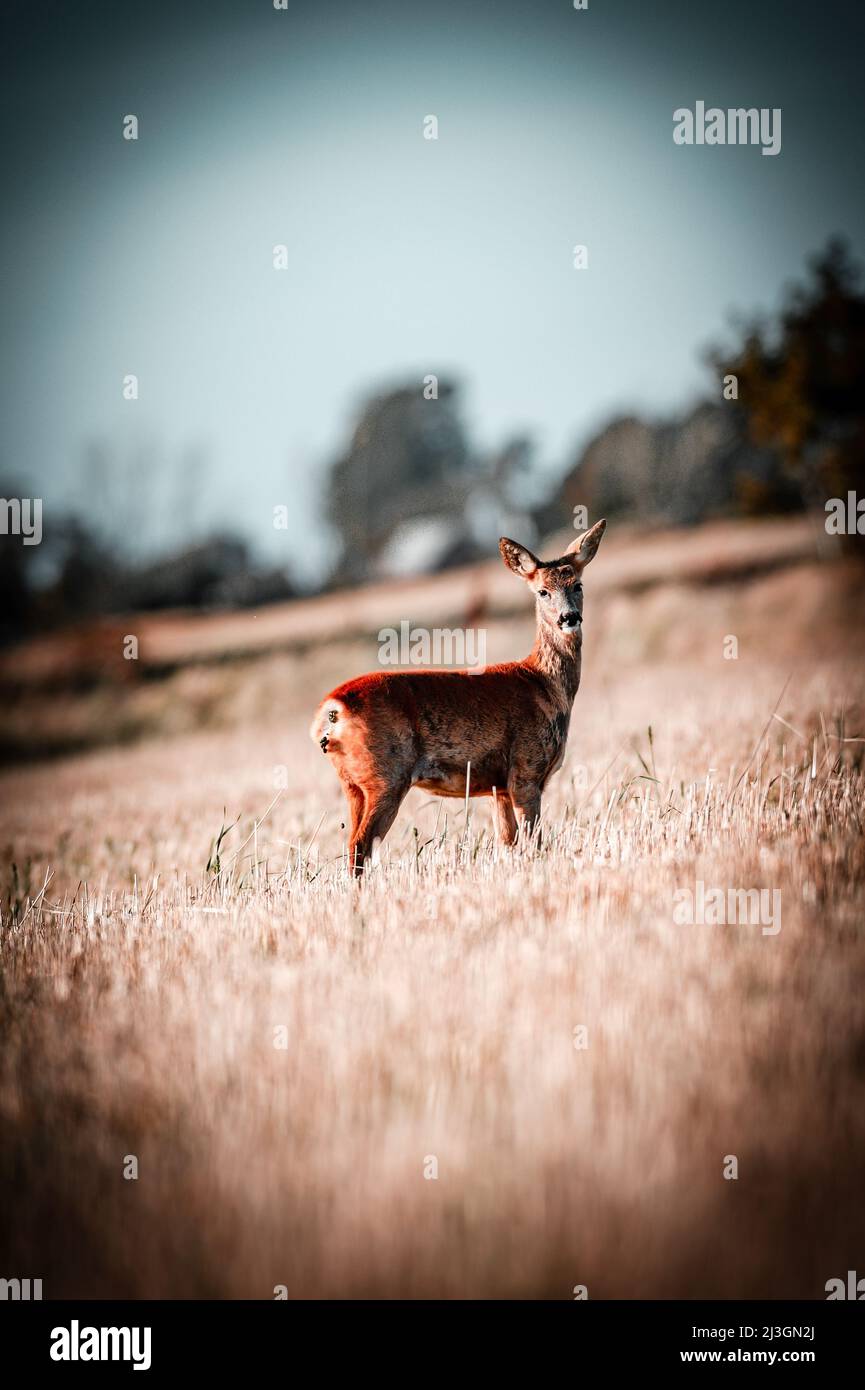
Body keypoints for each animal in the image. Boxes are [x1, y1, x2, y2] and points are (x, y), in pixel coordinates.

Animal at [310, 519, 607, 875]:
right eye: (542, 591)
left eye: (577, 585)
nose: (568, 617)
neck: (544, 683)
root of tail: (332, 710)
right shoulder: (526, 769)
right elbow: (534, 843)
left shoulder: (498, 787)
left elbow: (508, 843)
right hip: (385, 777)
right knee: (360, 846)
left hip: (353, 784)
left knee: (352, 844)